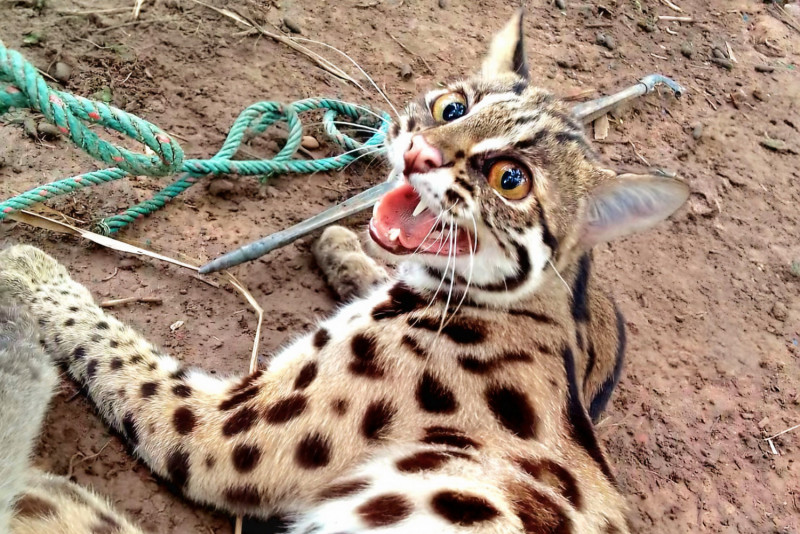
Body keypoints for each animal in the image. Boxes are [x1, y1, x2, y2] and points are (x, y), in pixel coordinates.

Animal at [0, 12, 688, 534]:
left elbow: (117, 349)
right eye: (452, 107)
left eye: (510, 179)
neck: (515, 296)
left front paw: (28, 268)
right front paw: (341, 245)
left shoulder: (223, 431)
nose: (419, 153)